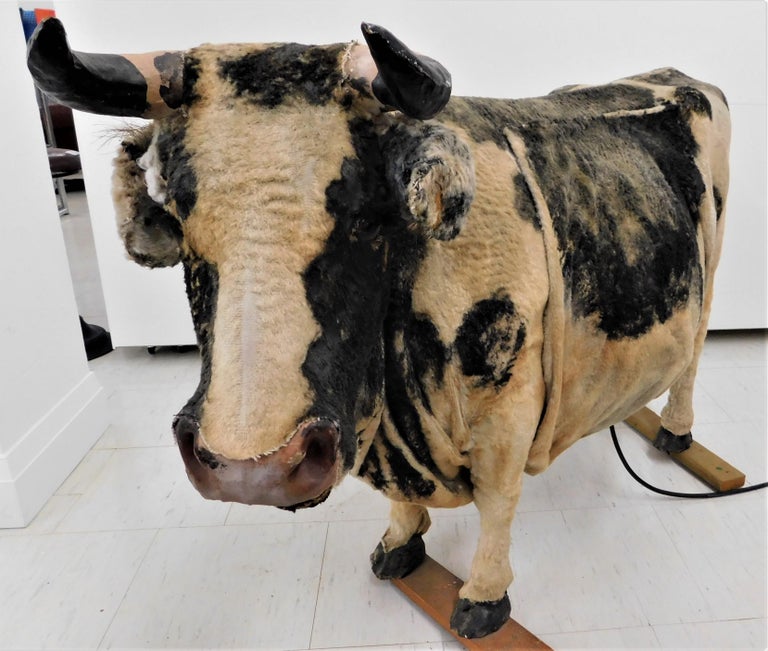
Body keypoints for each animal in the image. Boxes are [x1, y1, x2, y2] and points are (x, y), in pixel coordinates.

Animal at [28, 18, 730, 639]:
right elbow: (401, 514)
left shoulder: (509, 413)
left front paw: (483, 596)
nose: (251, 472)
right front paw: (399, 543)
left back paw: (675, 434)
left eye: (364, 219)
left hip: (711, 275)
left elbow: (498, 505)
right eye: (180, 213)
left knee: (694, 360)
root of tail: (677, 78)